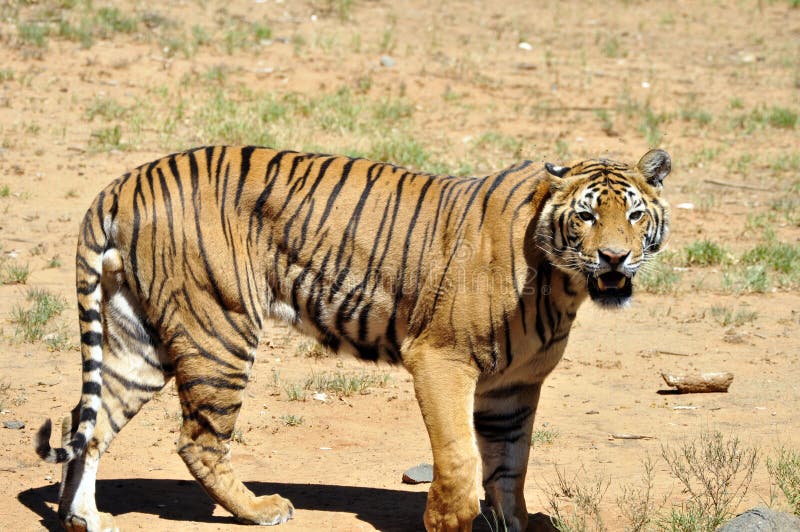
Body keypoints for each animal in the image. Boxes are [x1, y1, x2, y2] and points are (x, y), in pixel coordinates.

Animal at [35, 146, 670, 532]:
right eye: (586, 217)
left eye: (635, 215)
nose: (615, 258)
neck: (562, 283)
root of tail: (128, 180)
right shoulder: (441, 360)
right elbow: (459, 456)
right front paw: (450, 520)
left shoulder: (513, 386)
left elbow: (510, 464)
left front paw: (514, 521)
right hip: (219, 330)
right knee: (197, 442)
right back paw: (261, 509)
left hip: (136, 341)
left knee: (86, 425)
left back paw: (84, 519)